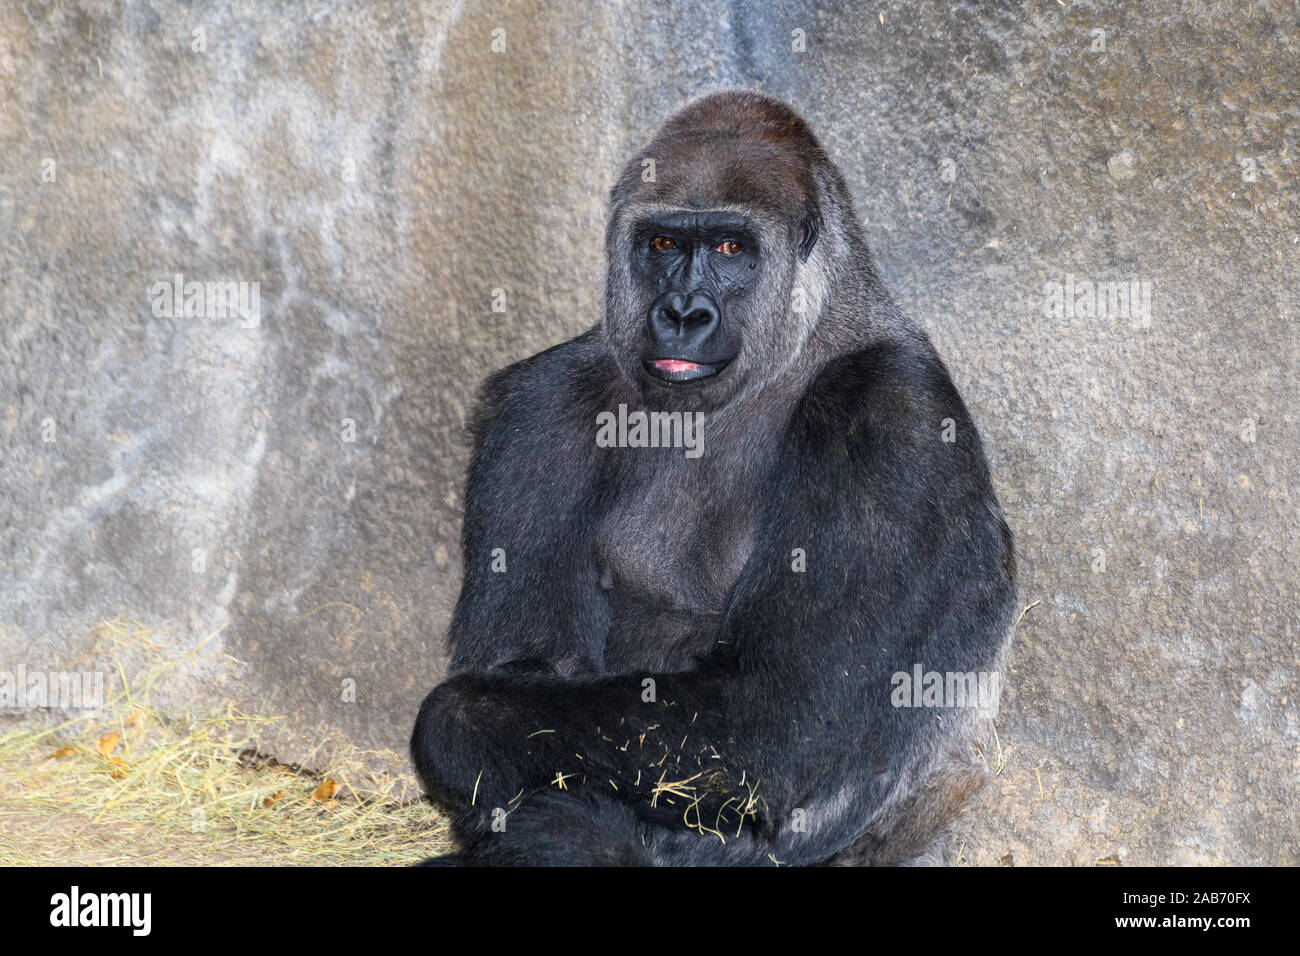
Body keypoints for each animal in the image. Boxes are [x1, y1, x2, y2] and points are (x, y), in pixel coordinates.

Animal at [411, 90, 1016, 865]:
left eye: (731, 248)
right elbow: (531, 661)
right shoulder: (540, 406)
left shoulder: (893, 418)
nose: (682, 313)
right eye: (664, 245)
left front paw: (454, 723)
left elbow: (771, 719)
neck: (796, 343)